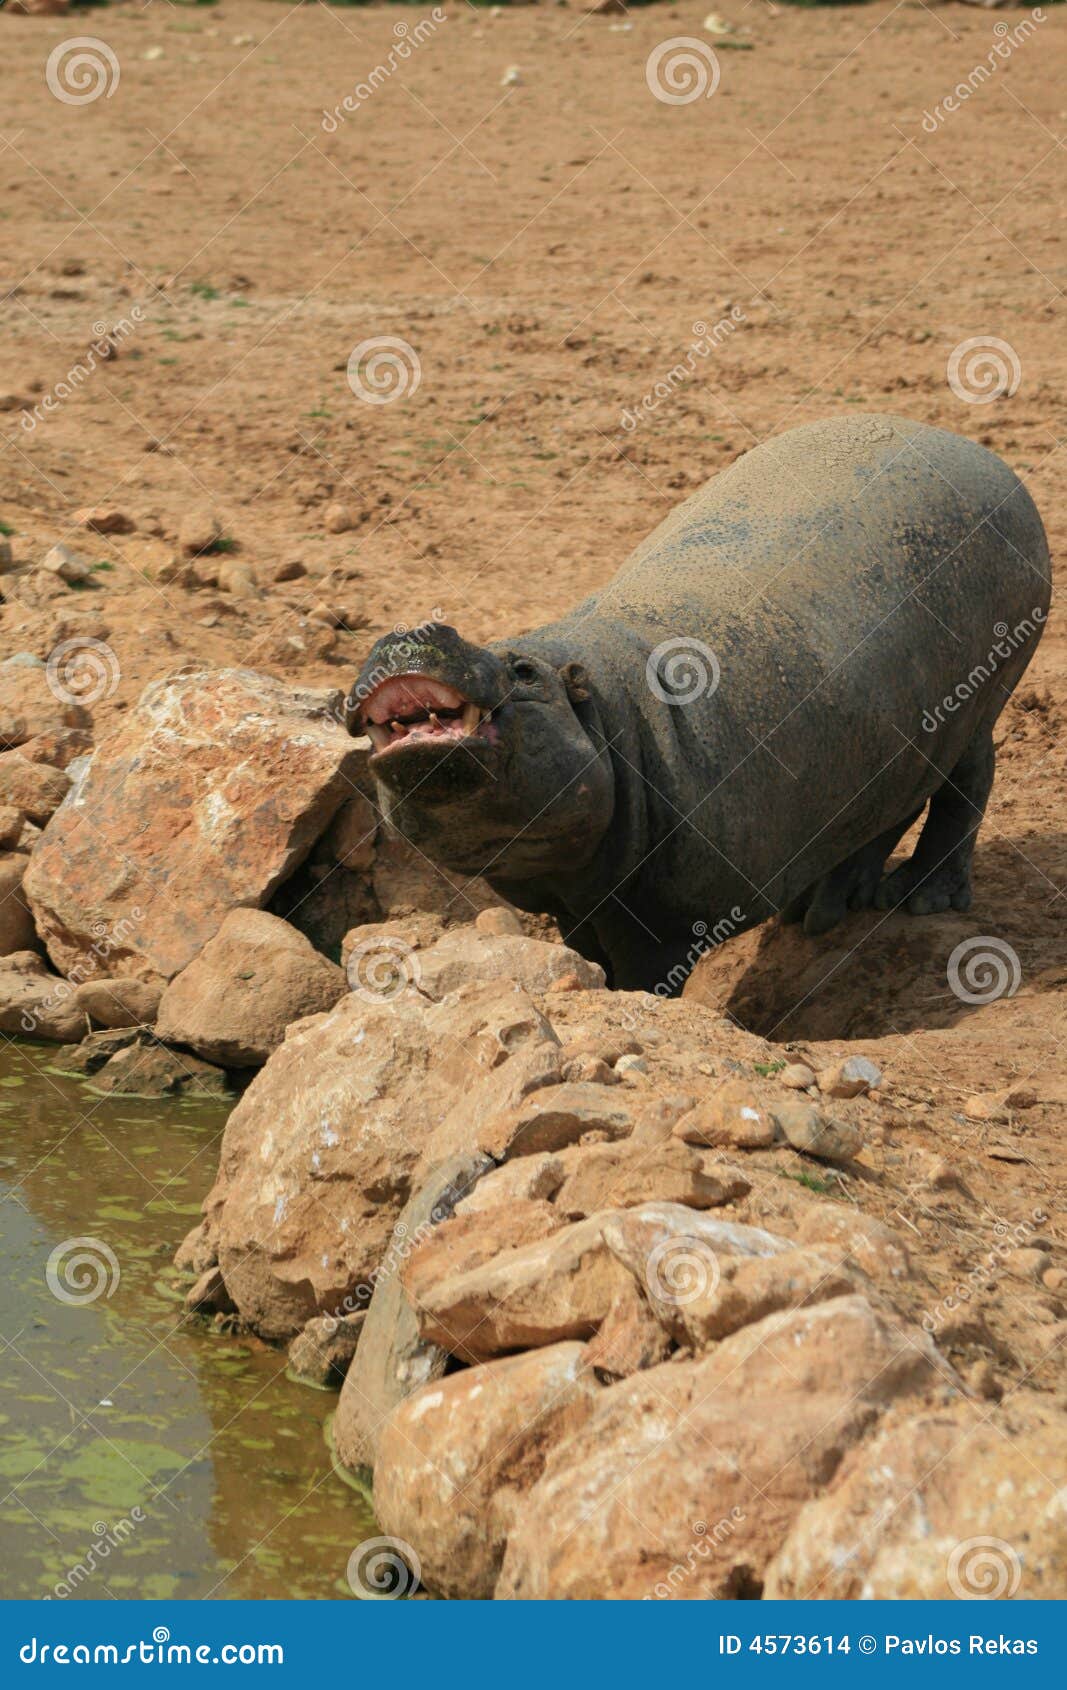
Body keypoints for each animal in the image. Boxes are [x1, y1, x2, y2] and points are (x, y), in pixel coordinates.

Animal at [351, 415, 1051, 992]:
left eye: (523, 672)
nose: (409, 631)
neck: (608, 715)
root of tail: (981, 452)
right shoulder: (578, 905)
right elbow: (591, 959)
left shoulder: (665, 921)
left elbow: (644, 982)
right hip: (902, 731)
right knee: (890, 805)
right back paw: (819, 912)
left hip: (987, 690)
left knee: (966, 786)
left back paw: (919, 901)